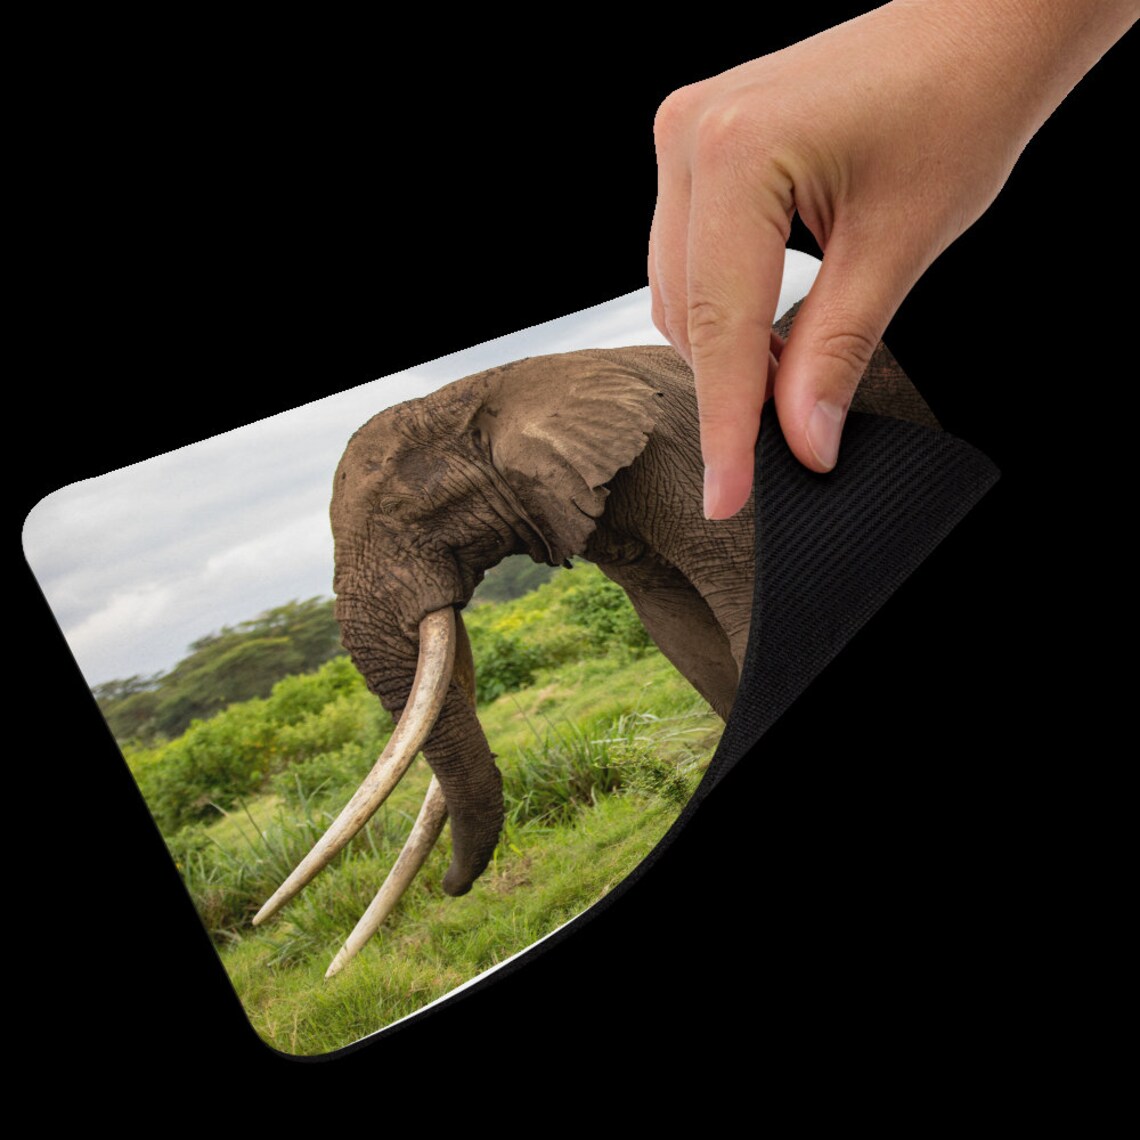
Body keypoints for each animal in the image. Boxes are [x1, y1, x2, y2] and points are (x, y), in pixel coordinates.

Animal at [253, 305, 938, 975]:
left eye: (400, 515)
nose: (450, 890)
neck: (475, 387)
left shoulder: (686, 457)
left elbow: (746, 605)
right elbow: (680, 633)